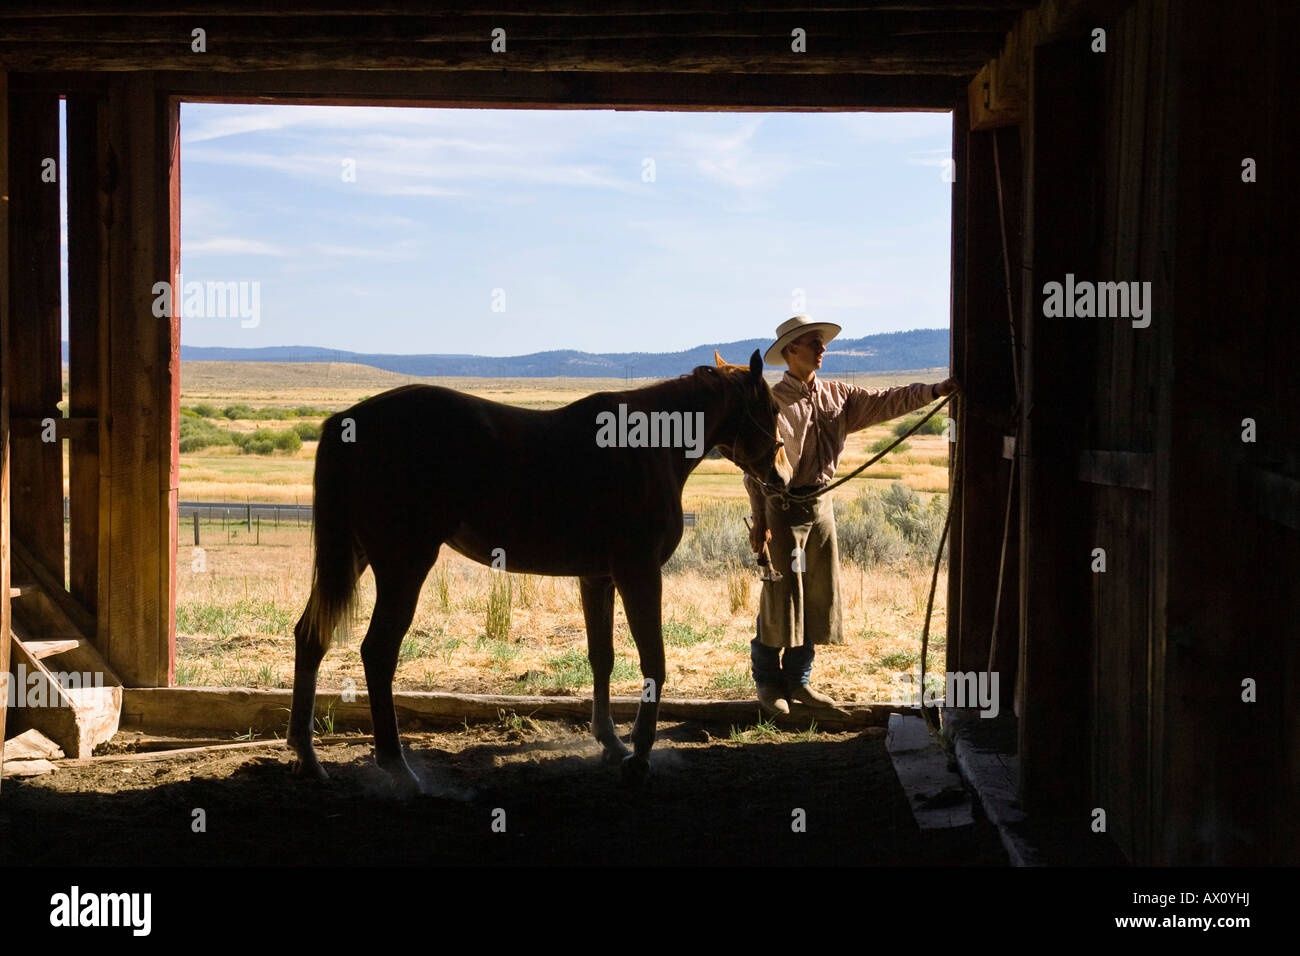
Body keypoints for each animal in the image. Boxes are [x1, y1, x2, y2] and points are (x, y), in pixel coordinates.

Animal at [287, 349, 792, 792]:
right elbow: (654, 661)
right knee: (377, 653)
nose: (782, 477)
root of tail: (347, 421)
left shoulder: (598, 578)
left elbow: (602, 656)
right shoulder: (639, 573)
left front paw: (610, 742)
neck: (647, 448)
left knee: (310, 637)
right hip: (403, 566)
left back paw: (308, 758)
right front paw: (639, 758)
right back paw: (399, 769)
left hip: (355, 557)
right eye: (769, 407)